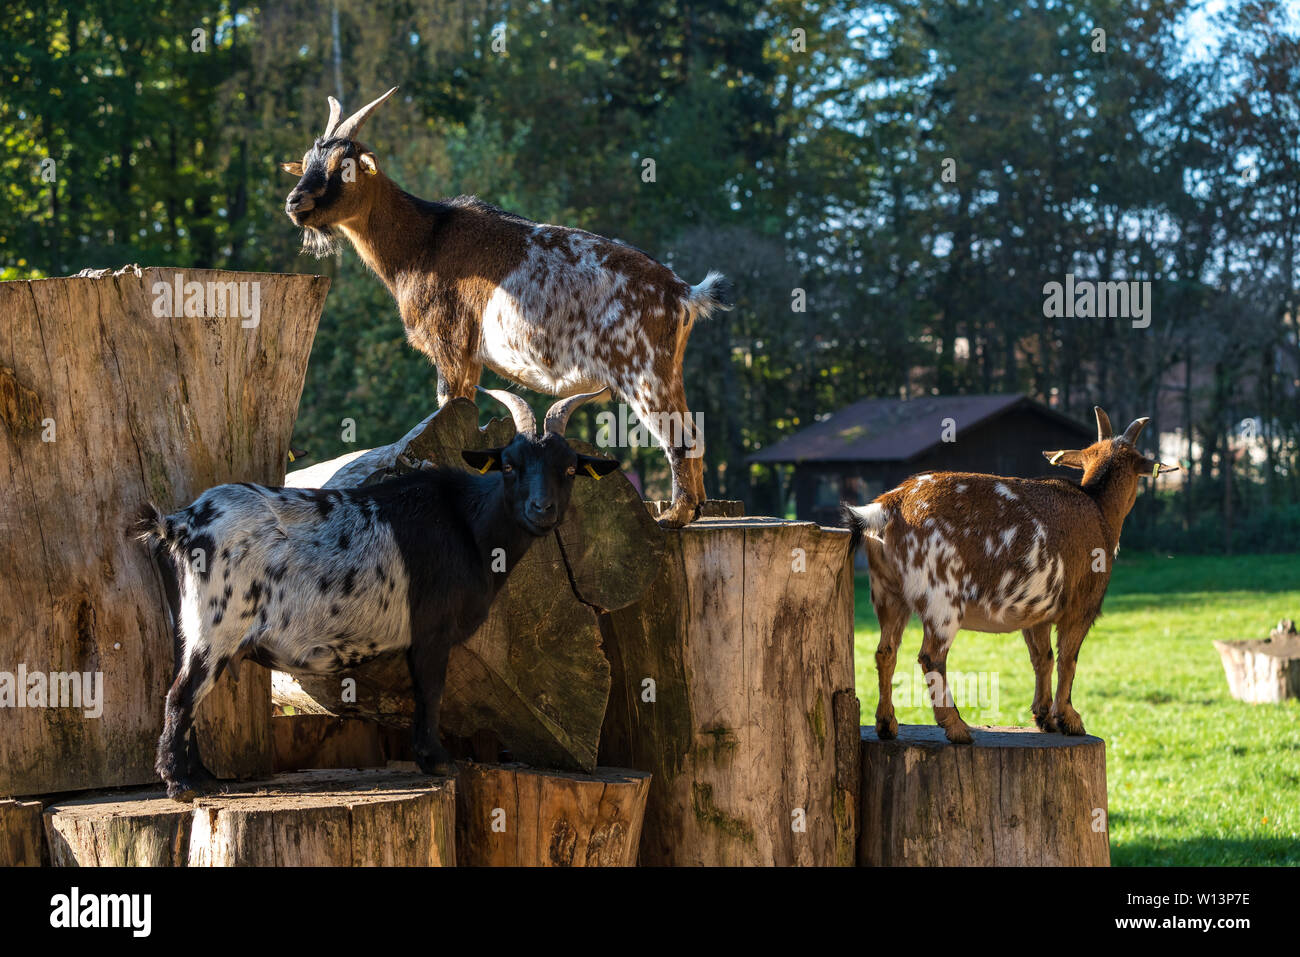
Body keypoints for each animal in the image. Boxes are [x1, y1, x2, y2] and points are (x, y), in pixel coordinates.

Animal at [133, 389, 617, 801]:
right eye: (511, 466)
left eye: (569, 468)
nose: (542, 510)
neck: (469, 525)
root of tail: (178, 524)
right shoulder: (432, 631)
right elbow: (431, 691)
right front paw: (437, 761)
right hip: (218, 624)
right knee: (182, 695)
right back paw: (180, 785)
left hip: (185, 625)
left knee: (180, 689)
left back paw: (199, 777)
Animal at [279, 86, 733, 528]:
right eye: (307, 163)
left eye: (345, 166)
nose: (295, 203)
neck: (424, 241)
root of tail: (683, 292)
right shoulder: (469, 355)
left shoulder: (450, 344)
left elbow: (451, 405)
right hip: (667, 371)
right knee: (696, 430)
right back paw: (696, 508)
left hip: (643, 371)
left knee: (679, 435)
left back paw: (674, 516)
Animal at [842, 408, 1176, 744]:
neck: (1098, 507)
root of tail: (888, 505)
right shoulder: (1081, 606)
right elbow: (1068, 659)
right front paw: (1069, 720)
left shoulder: (1037, 614)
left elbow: (1043, 658)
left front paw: (1044, 717)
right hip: (941, 598)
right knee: (930, 657)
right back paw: (957, 727)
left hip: (887, 593)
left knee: (886, 651)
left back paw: (887, 724)